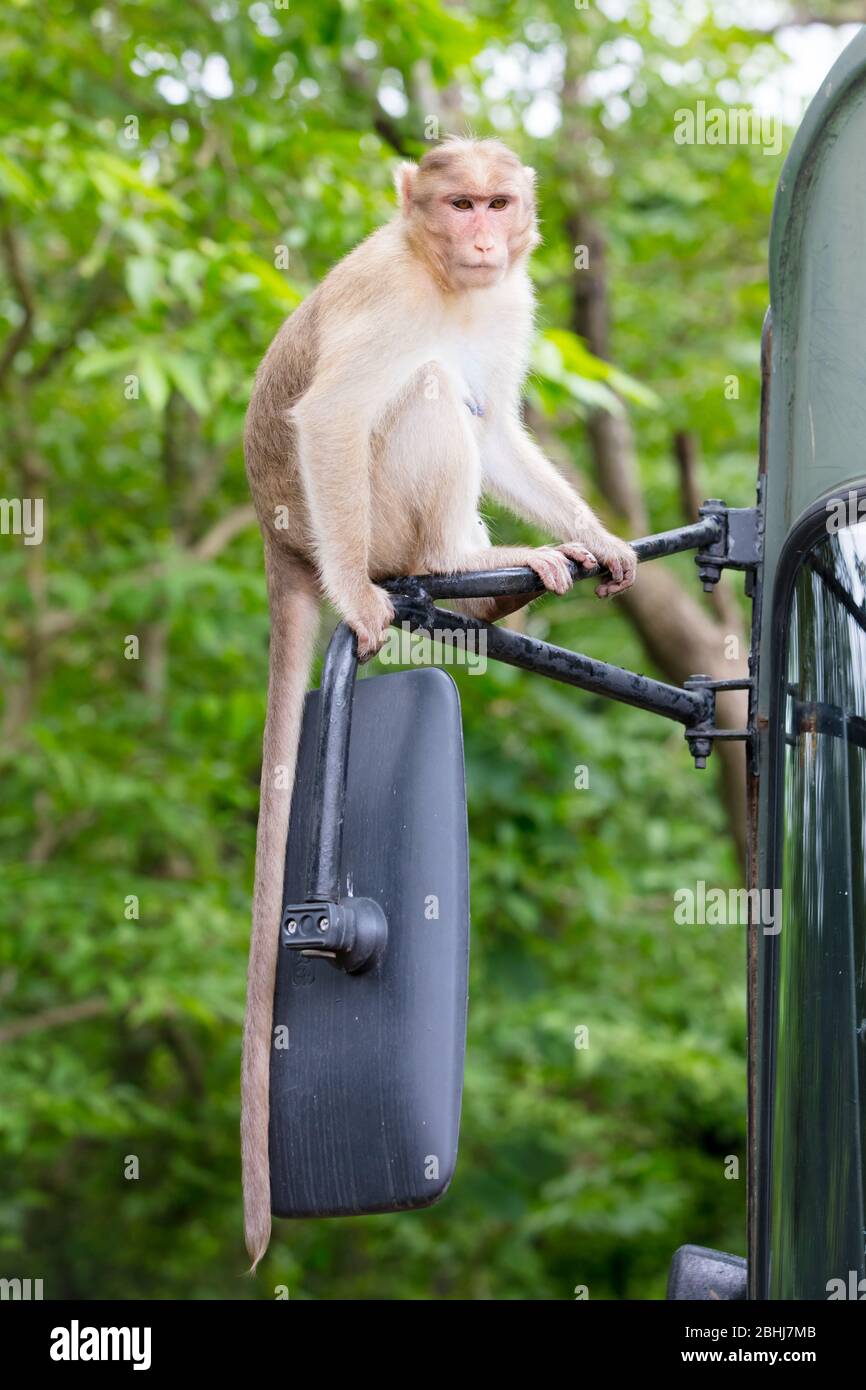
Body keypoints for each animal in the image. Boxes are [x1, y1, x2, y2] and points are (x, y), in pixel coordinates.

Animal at [241, 136, 637, 1268]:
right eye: (457, 203)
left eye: (496, 203)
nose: (481, 239)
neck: (444, 280)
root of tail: (283, 545)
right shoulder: (385, 295)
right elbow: (336, 409)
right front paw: (356, 601)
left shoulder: (509, 300)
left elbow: (498, 426)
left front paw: (597, 533)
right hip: (367, 516)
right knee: (417, 389)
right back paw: (458, 564)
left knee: (457, 400)